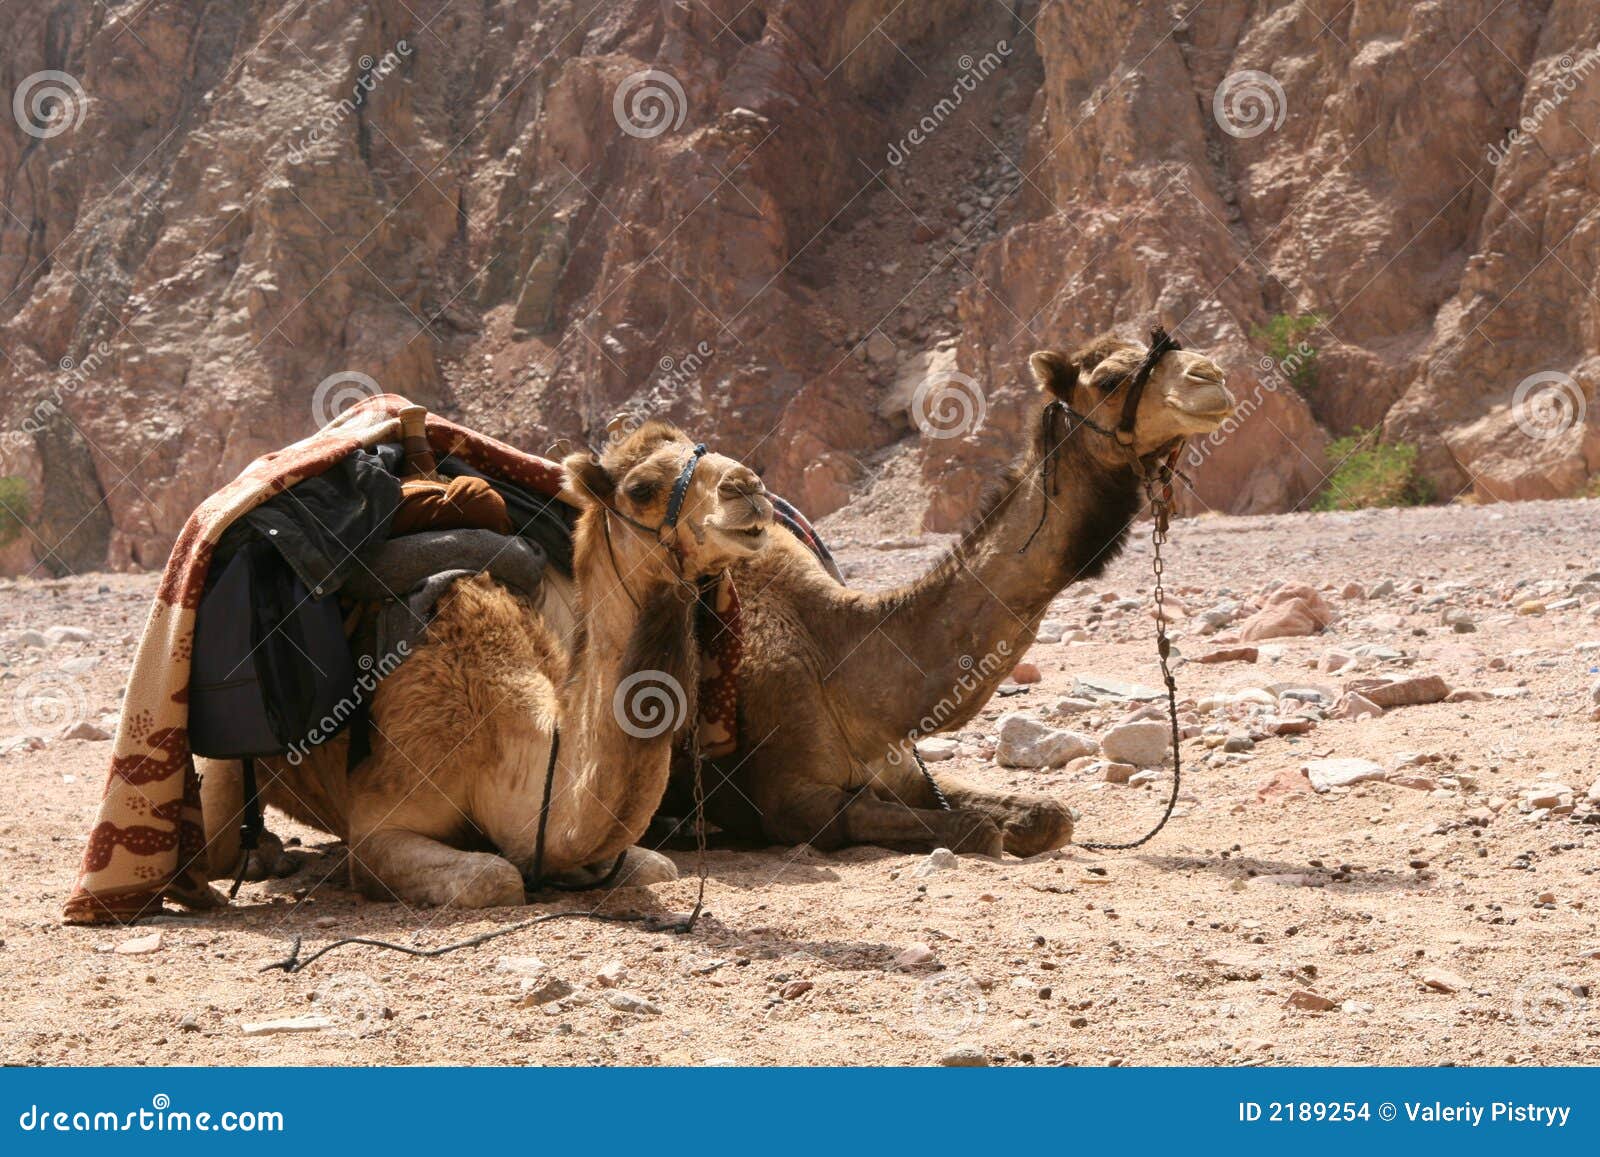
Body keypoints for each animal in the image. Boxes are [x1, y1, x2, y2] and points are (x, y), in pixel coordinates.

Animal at [199, 423, 774, 907]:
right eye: (641, 487)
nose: (749, 488)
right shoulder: (378, 827)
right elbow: (495, 877)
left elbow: (655, 866)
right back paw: (263, 855)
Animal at [666, 331, 1236, 857]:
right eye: (1111, 380)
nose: (1212, 377)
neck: (834, 656)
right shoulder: (795, 802)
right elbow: (977, 830)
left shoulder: (904, 770)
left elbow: (1049, 815)